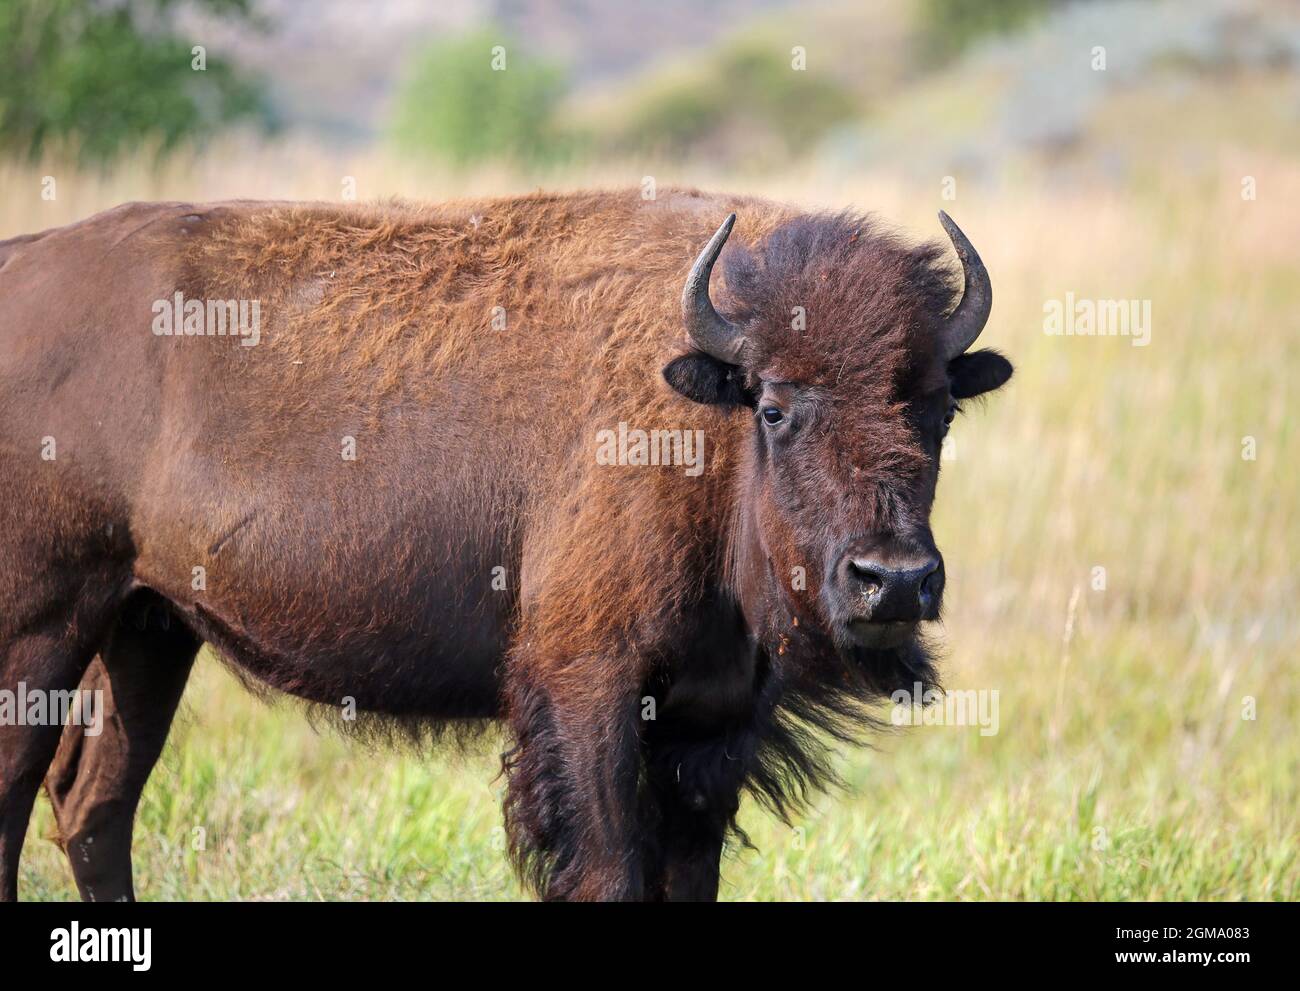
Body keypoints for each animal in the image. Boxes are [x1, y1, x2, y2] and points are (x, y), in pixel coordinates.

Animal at [0, 189, 1011, 901]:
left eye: (939, 409)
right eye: (774, 406)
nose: (894, 580)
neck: (700, 420)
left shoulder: (711, 719)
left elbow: (688, 876)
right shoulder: (588, 685)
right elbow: (607, 869)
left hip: (146, 626)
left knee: (94, 805)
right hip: (44, 627)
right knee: (21, 793)